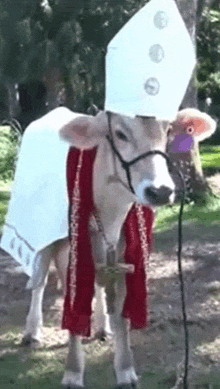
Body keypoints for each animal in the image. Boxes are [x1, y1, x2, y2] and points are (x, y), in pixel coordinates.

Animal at [17, 104, 215, 386]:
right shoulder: (69, 256)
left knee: (98, 285)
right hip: (40, 235)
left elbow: (121, 316)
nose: (160, 191)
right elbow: (72, 312)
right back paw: (32, 330)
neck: (110, 216)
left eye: (168, 130)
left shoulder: (125, 259)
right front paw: (73, 374)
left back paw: (102, 326)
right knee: (39, 281)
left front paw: (125, 371)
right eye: (120, 133)